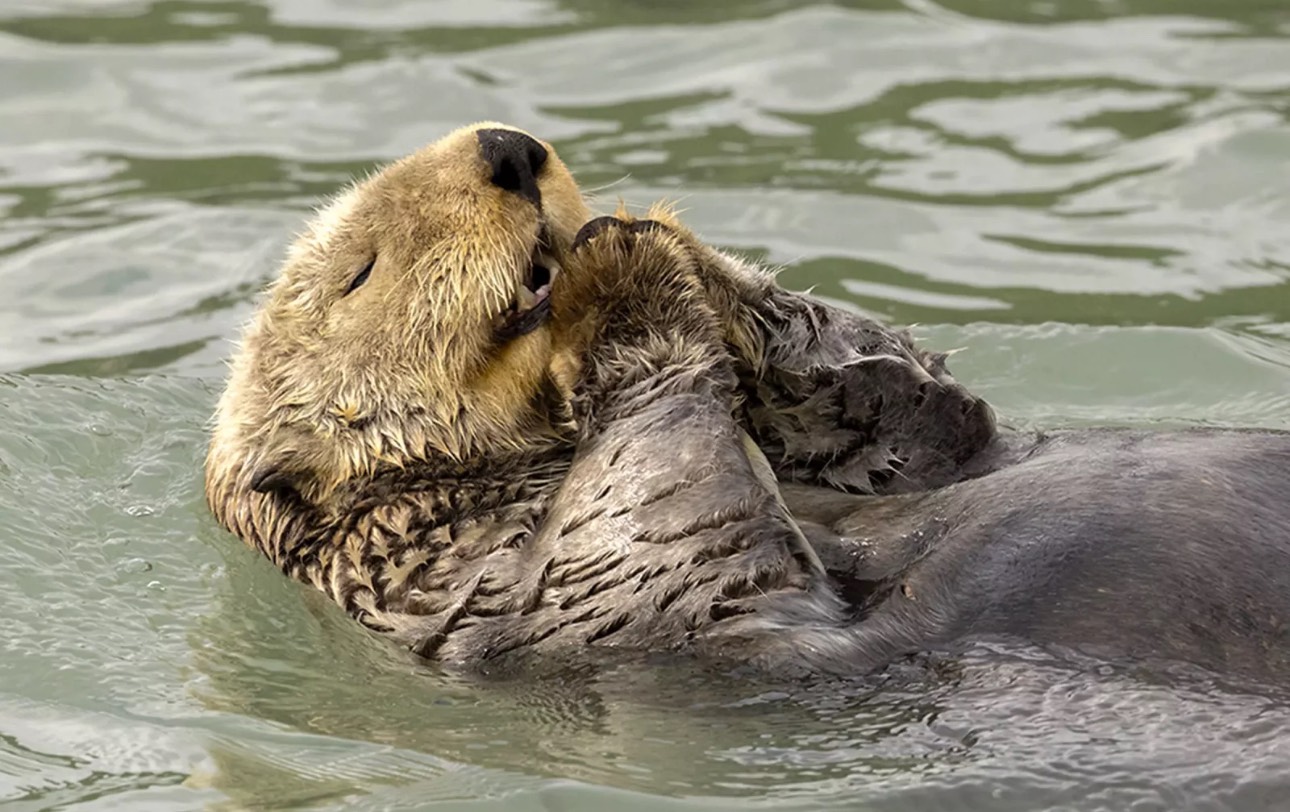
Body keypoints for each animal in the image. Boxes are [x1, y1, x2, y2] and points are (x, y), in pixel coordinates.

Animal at [206, 120, 1290, 676]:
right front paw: (624, 280)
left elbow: (924, 415)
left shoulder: (911, 445)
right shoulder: (455, 577)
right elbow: (663, 534)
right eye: (359, 270)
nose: (509, 149)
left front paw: (655, 235)